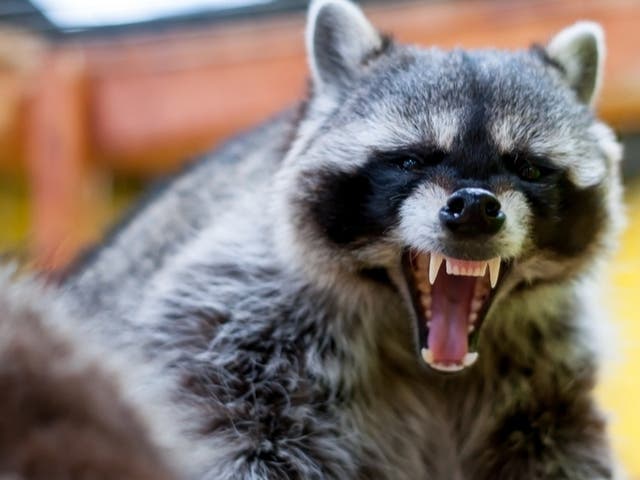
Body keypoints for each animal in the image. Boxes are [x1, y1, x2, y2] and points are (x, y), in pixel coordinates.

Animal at [61, 0, 625, 478]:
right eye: (410, 161)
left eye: (528, 169)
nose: (473, 208)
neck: (424, 357)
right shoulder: (235, 328)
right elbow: (241, 439)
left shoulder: (547, 372)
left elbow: (563, 447)